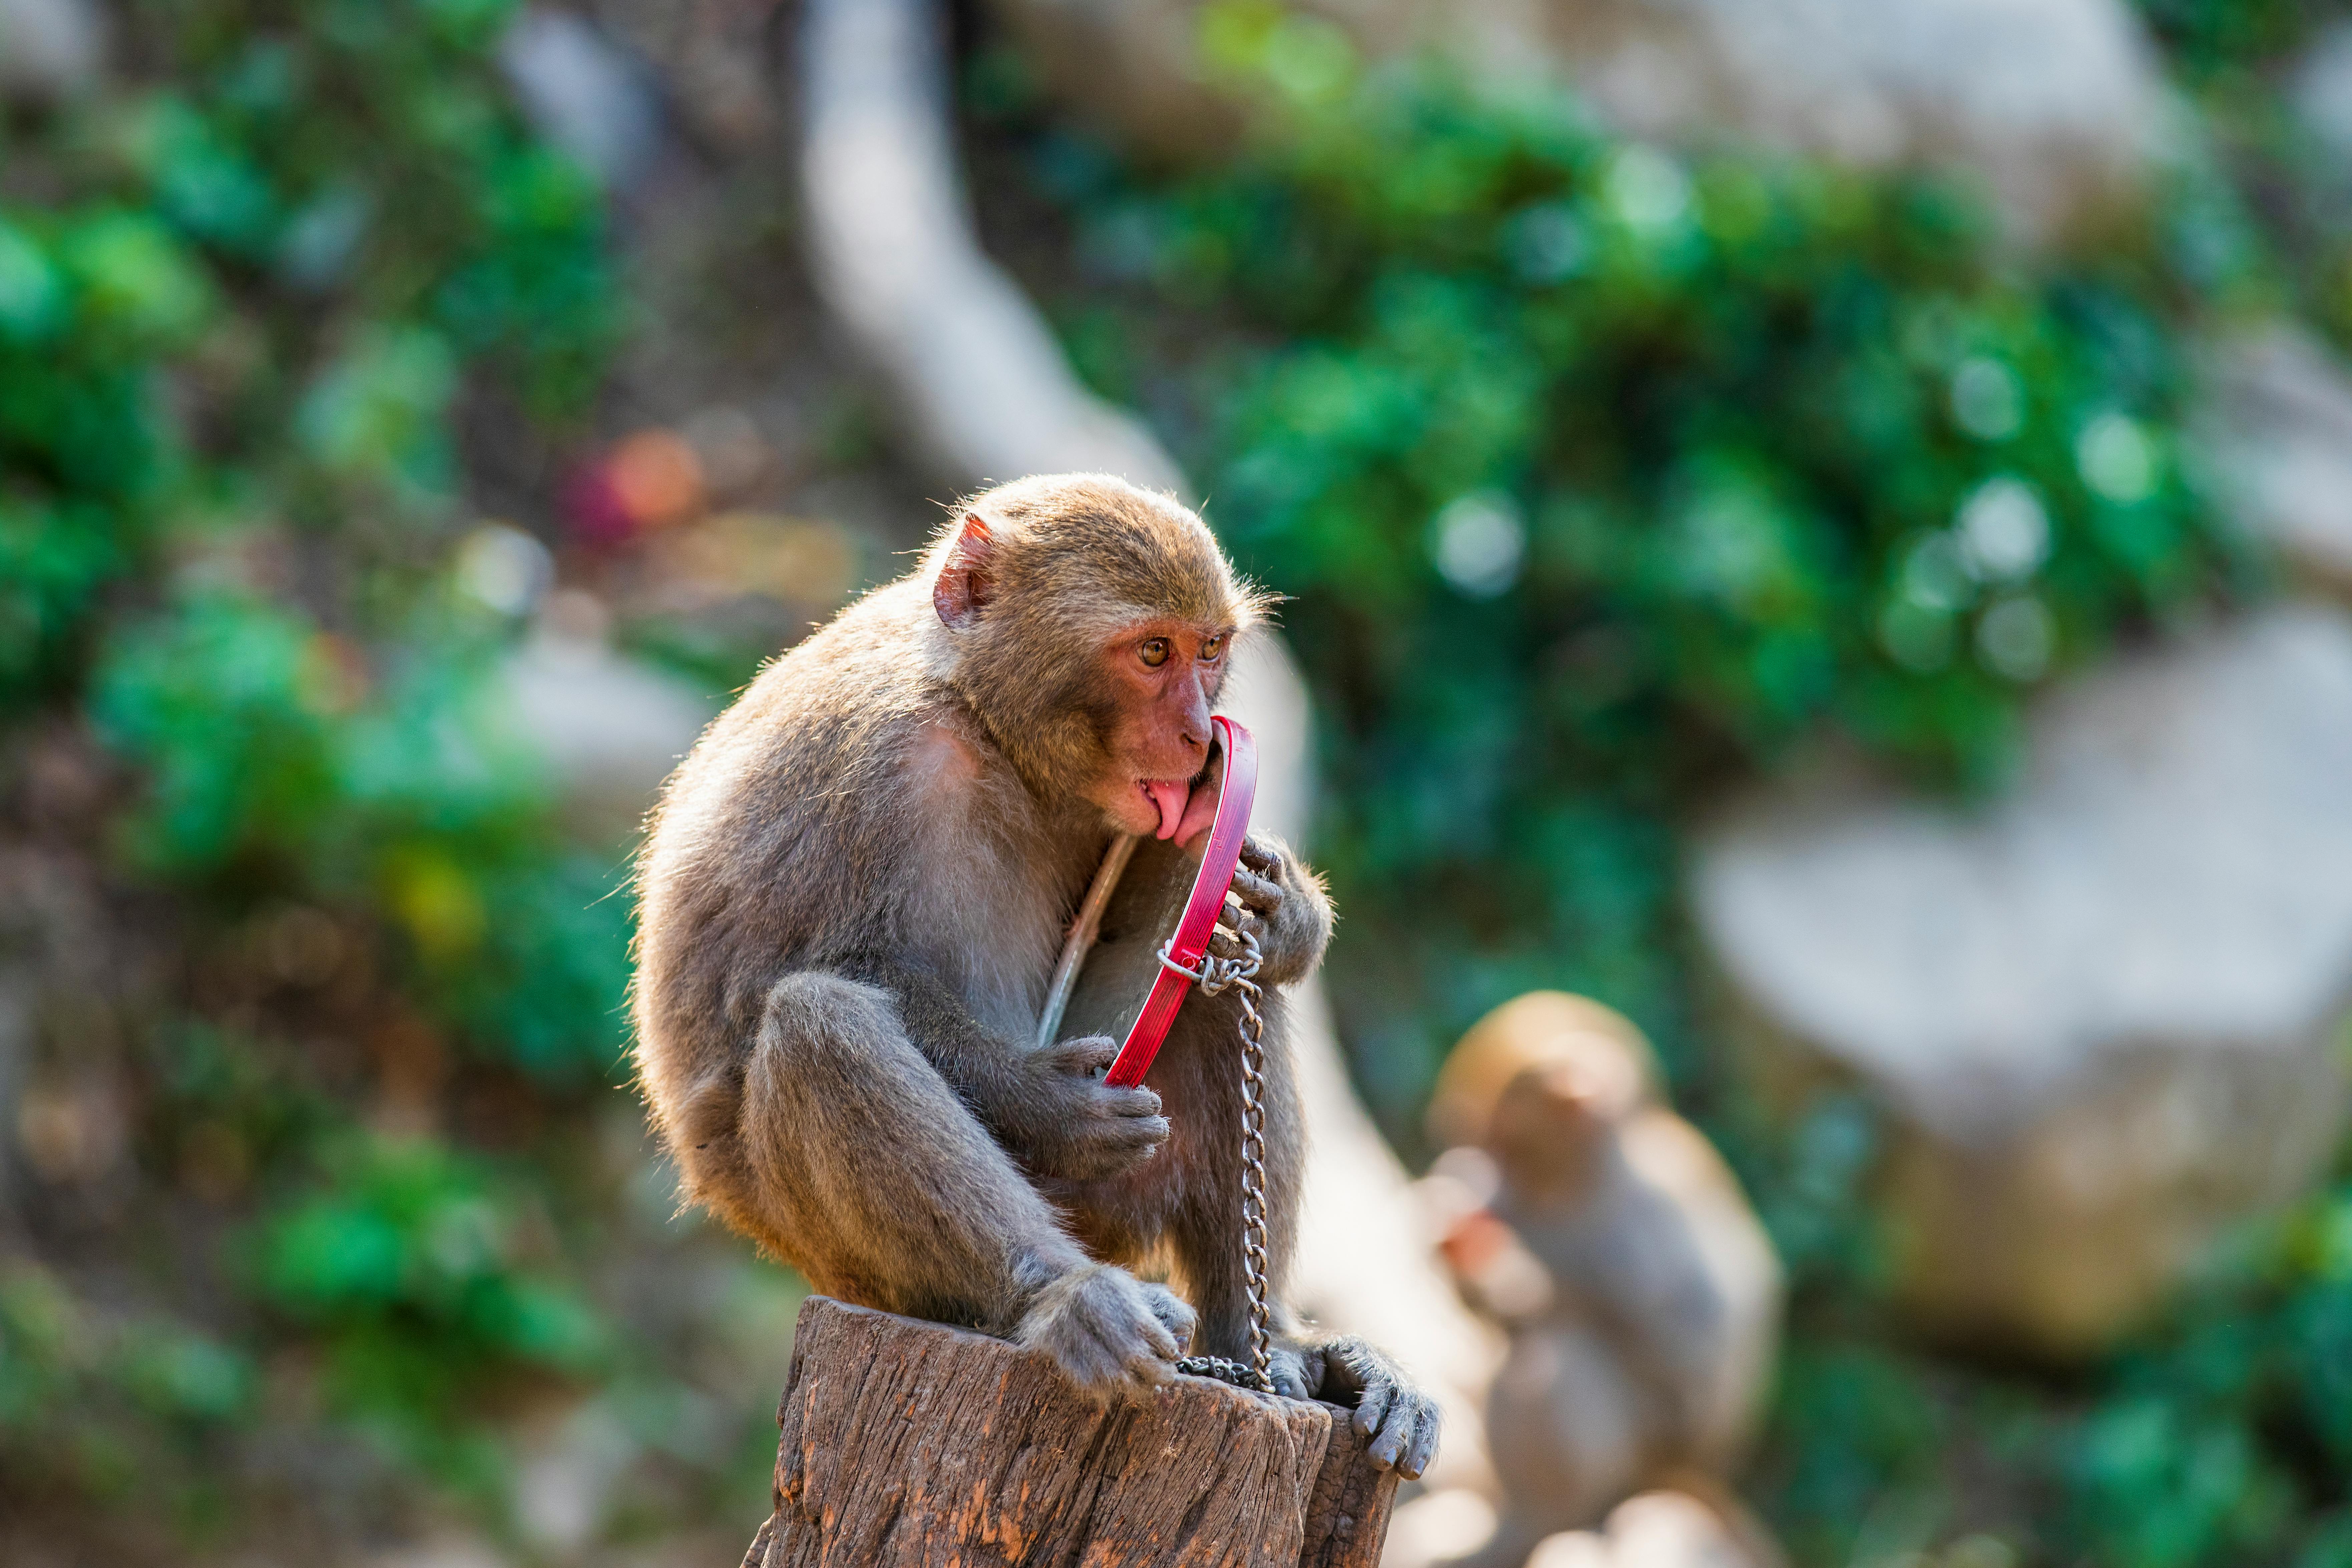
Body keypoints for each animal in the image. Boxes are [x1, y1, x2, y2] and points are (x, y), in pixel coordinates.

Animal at [630, 472, 1441, 1478]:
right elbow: (756, 992)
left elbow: (1221, 933)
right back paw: (1067, 1296)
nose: (1196, 734)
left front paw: (1285, 914)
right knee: (815, 1022)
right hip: (863, 1261)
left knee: (1216, 995)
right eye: (1152, 652)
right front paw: (1050, 1105)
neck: (985, 724)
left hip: (1115, 1202)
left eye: (1209, 651)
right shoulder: (861, 763)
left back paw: (1271, 1342)